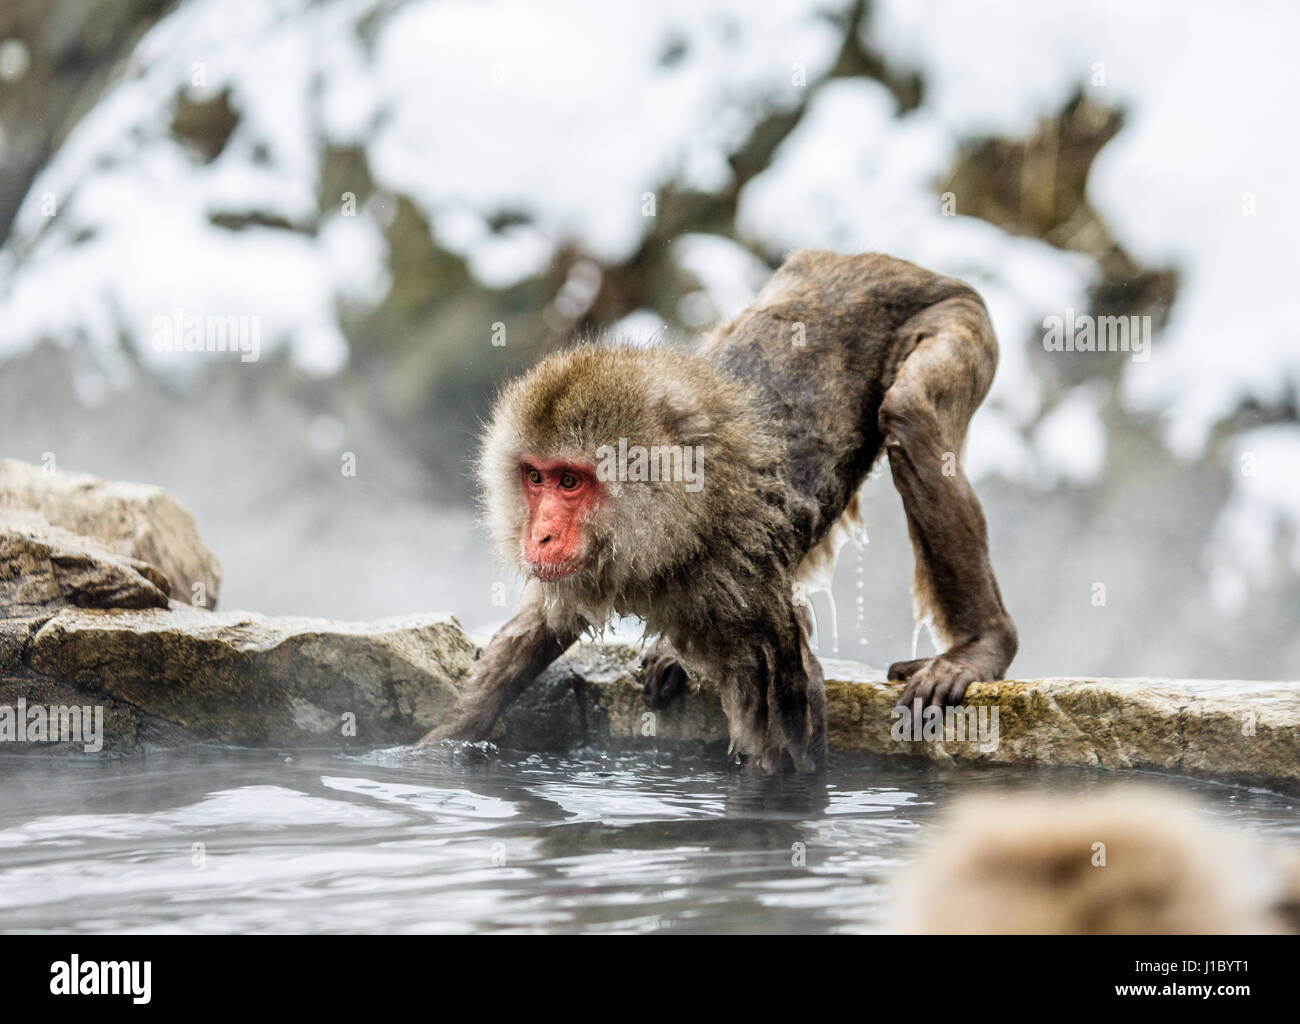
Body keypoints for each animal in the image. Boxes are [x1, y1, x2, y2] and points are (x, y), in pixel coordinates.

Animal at [422, 249, 1018, 772]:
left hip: (957, 312)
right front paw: (433, 753)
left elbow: (785, 745)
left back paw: (983, 647)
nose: (539, 536)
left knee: (910, 414)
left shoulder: (745, 598)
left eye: (570, 482)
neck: (678, 526)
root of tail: (871, 260)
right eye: (535, 478)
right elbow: (531, 634)